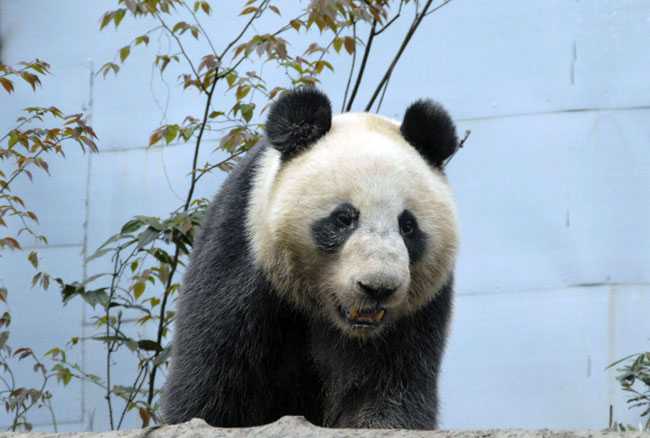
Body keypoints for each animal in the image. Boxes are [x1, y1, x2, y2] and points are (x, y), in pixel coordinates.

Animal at [161, 88, 460, 430]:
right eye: (344, 218)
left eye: (408, 226)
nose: (378, 288)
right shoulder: (241, 256)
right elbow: (215, 377)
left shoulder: (413, 315)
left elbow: (388, 386)